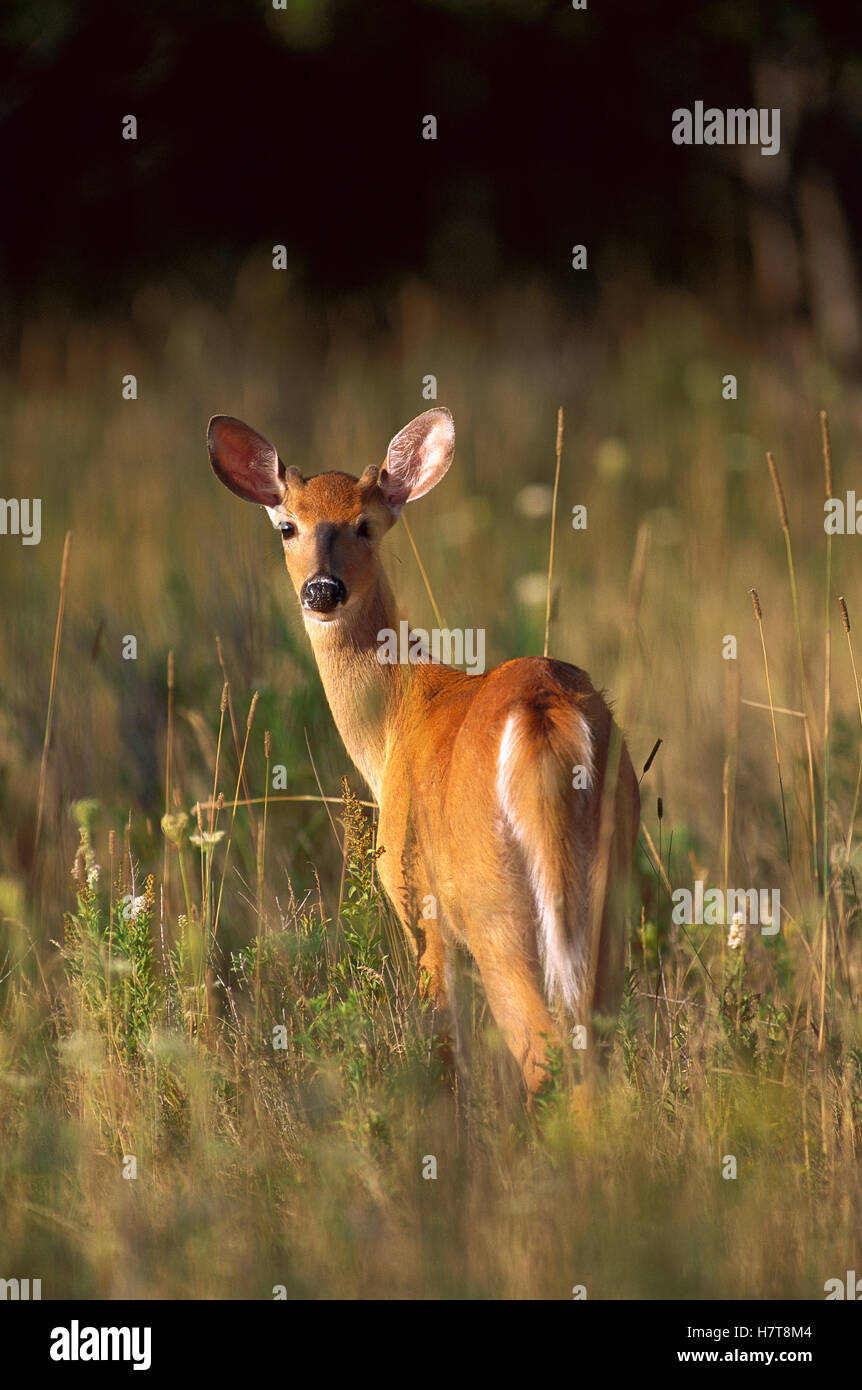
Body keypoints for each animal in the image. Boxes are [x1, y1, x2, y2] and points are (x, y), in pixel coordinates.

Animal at [207, 407, 640, 1096]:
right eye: (287, 526)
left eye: (365, 524)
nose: (322, 591)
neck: (393, 720)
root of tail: (544, 712)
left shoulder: (420, 906)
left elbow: (443, 1048)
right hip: (609, 890)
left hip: (492, 905)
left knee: (545, 1054)